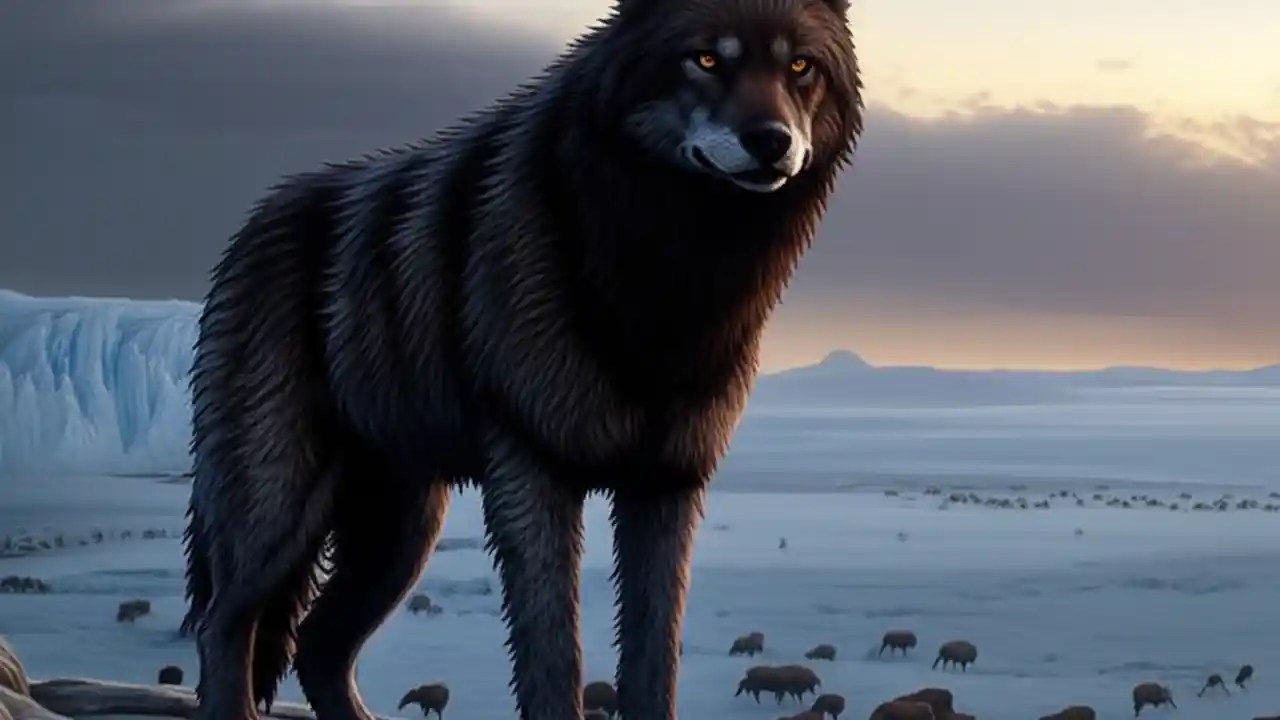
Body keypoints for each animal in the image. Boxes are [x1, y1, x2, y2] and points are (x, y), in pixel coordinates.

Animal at [180, 0, 862, 718]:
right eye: (706, 58)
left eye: (799, 66)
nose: (771, 140)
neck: (662, 278)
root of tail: (253, 223)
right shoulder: (532, 469)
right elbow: (553, 652)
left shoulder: (667, 483)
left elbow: (654, 654)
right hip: (279, 508)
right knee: (224, 622)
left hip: (401, 532)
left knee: (318, 644)